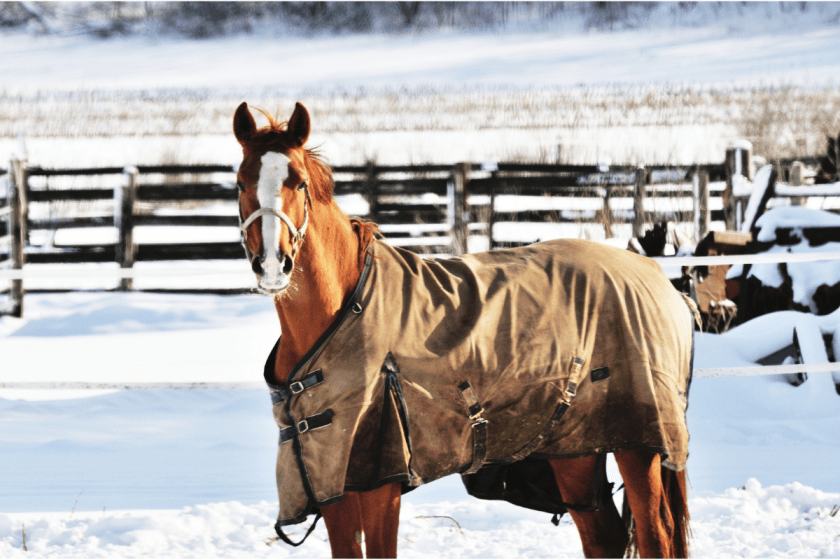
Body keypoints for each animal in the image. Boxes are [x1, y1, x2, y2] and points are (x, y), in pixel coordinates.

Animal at [233, 101, 692, 558]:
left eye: (299, 182)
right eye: (240, 183)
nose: (272, 265)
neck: (344, 309)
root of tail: (657, 277)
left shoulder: (380, 480)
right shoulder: (330, 480)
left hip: (640, 446)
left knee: (656, 534)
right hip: (575, 447)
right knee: (603, 536)